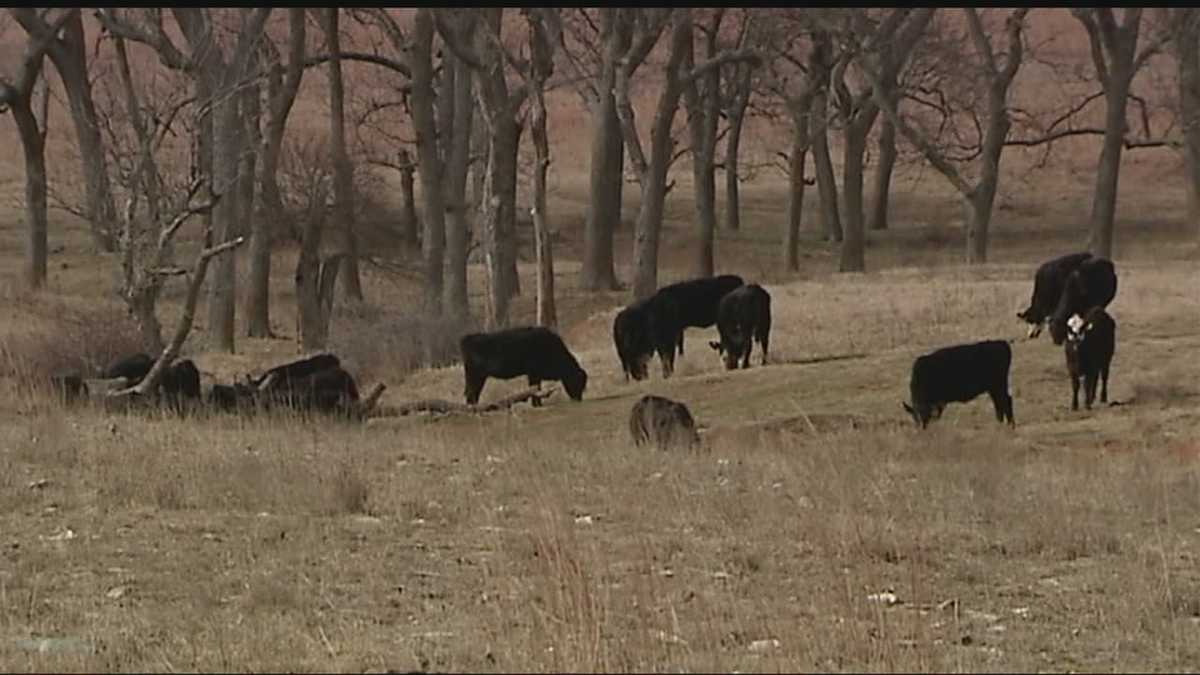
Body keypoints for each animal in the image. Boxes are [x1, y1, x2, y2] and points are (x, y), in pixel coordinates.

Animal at [459, 326, 588, 405]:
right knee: (471, 393)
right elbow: (535, 389)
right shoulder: (534, 374)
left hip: (479, 377)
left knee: (473, 393)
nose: (578, 399)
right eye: (577, 381)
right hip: (475, 376)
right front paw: (537, 405)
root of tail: (468, 338)